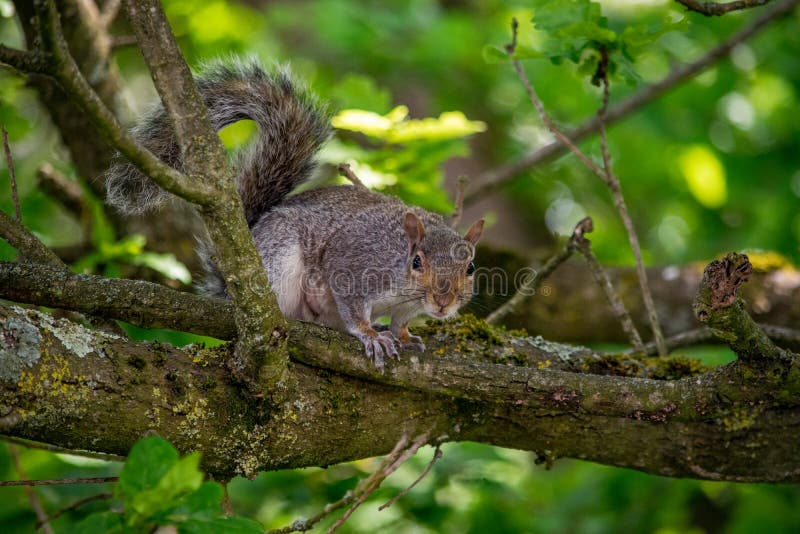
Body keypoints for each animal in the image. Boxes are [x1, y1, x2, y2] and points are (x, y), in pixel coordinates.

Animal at [106, 59, 484, 370]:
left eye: (470, 267)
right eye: (417, 262)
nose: (443, 302)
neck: (401, 274)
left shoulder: (407, 307)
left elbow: (402, 322)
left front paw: (403, 336)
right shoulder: (356, 263)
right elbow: (352, 307)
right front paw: (369, 333)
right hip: (279, 262)